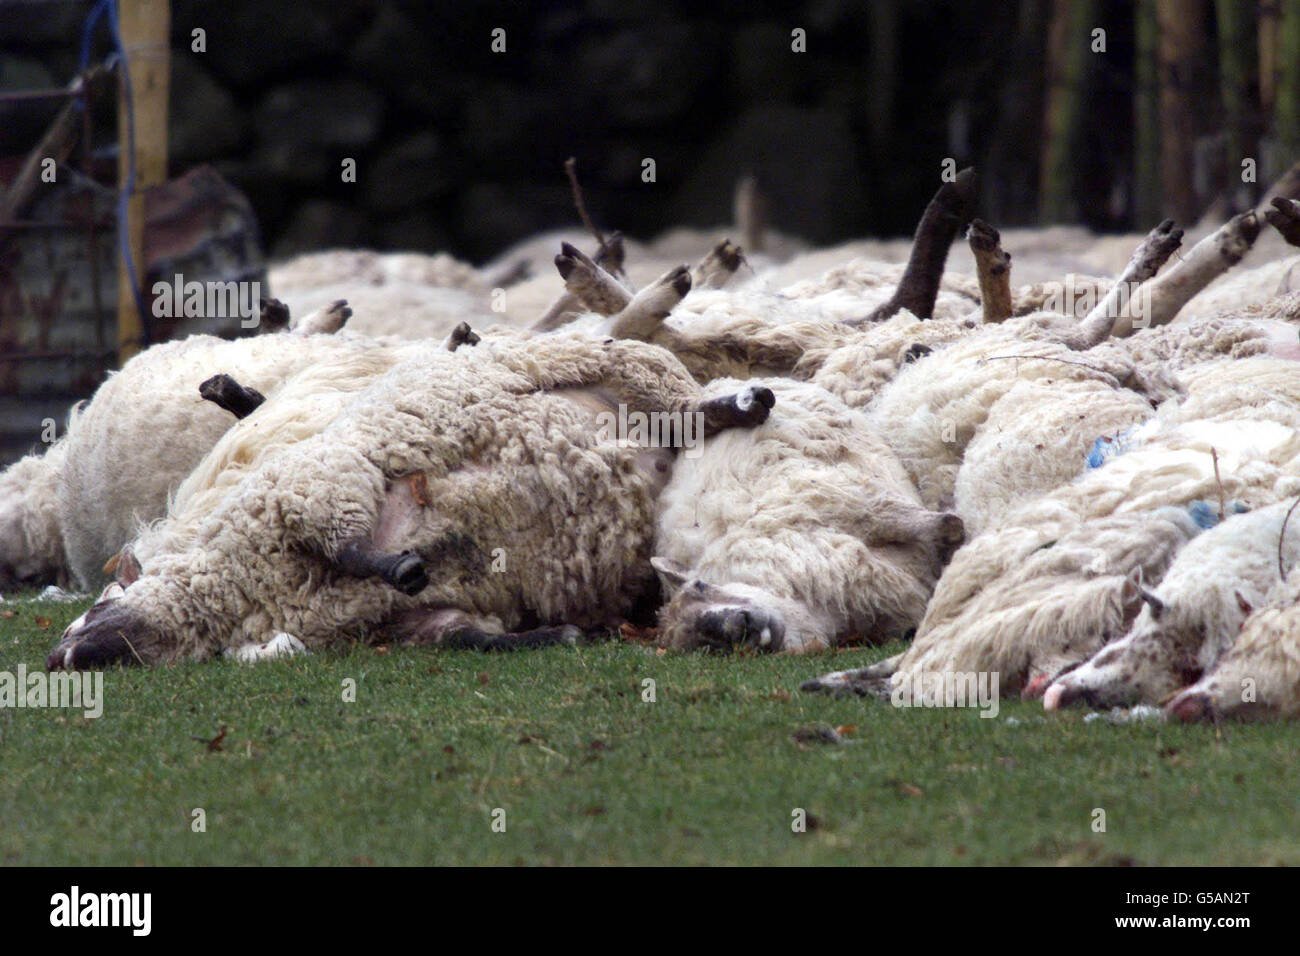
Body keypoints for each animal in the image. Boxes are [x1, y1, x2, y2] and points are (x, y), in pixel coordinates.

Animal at [47, 334, 776, 668]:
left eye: (95, 607)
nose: (60, 659)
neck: (243, 587)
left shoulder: (315, 485)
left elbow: (348, 542)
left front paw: (398, 563)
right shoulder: (405, 624)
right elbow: (465, 636)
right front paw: (555, 633)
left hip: (603, 361)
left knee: (685, 408)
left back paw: (746, 403)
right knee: (681, 426)